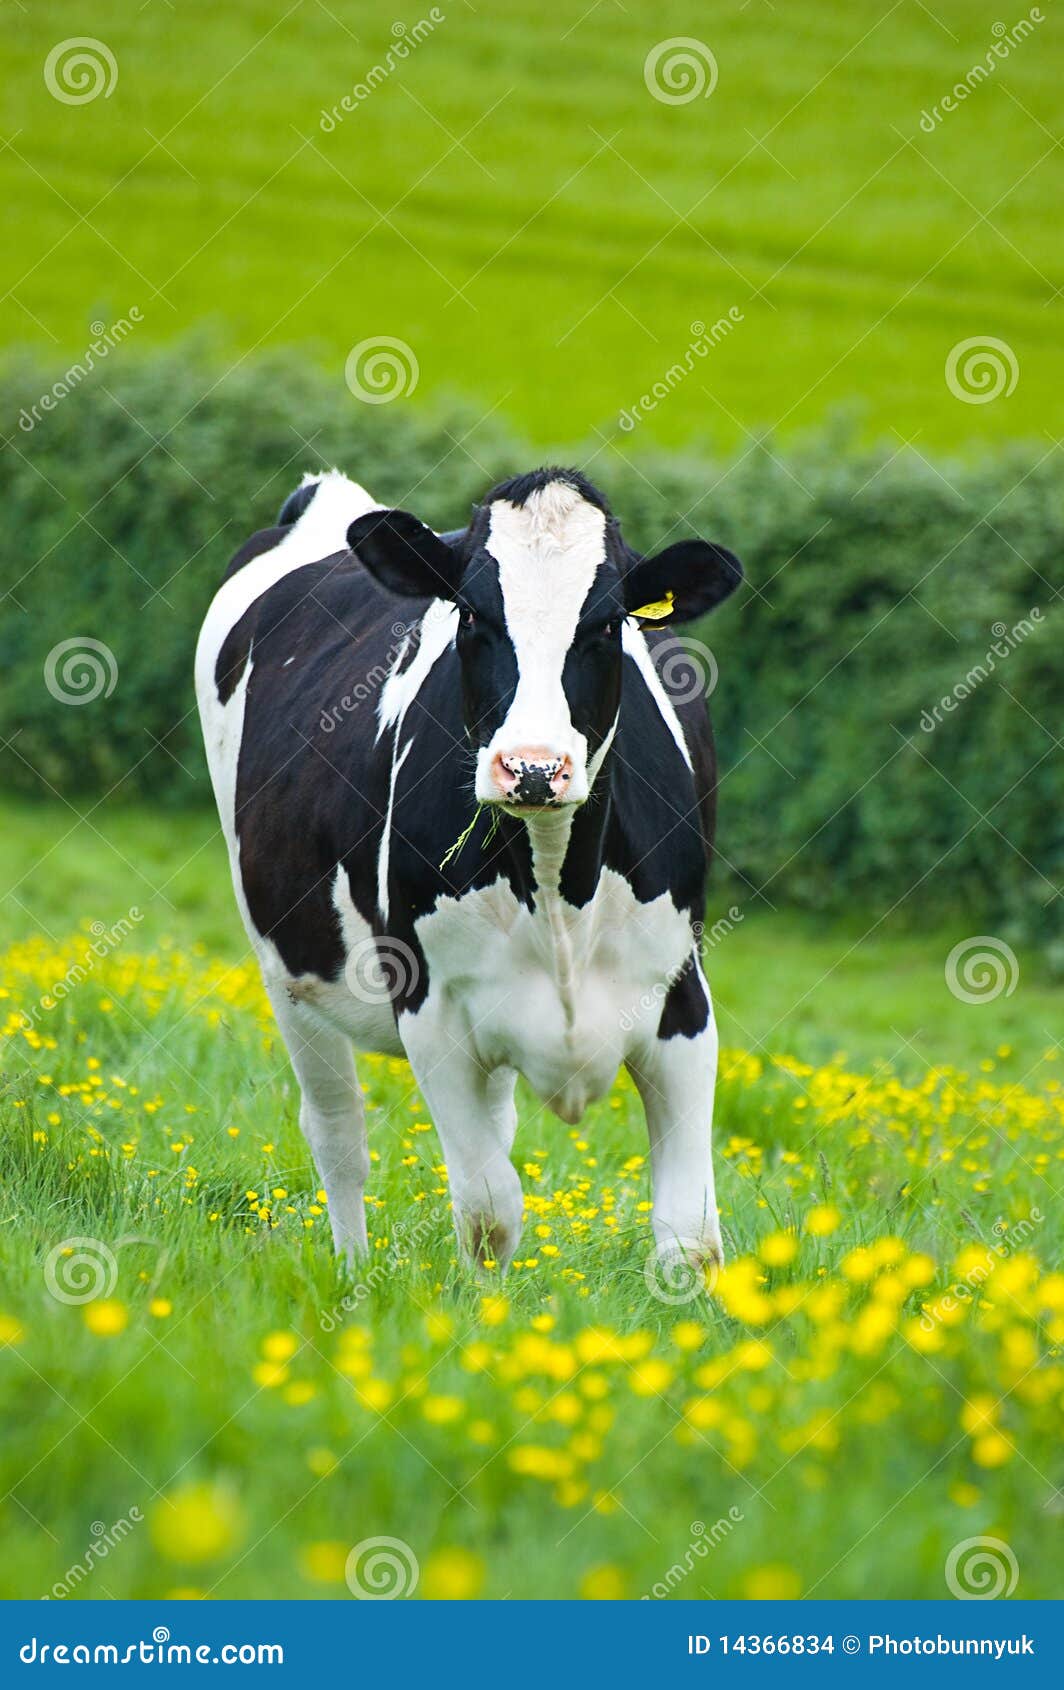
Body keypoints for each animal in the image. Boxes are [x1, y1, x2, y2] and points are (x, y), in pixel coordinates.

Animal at [194, 466, 743, 1278]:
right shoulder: (432, 1013)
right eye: (474, 615)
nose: (534, 769)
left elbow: (691, 1239)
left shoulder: (683, 1004)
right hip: (287, 968)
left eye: (606, 623)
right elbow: (489, 1215)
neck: (558, 887)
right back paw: (354, 1271)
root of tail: (328, 500)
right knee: (338, 1135)